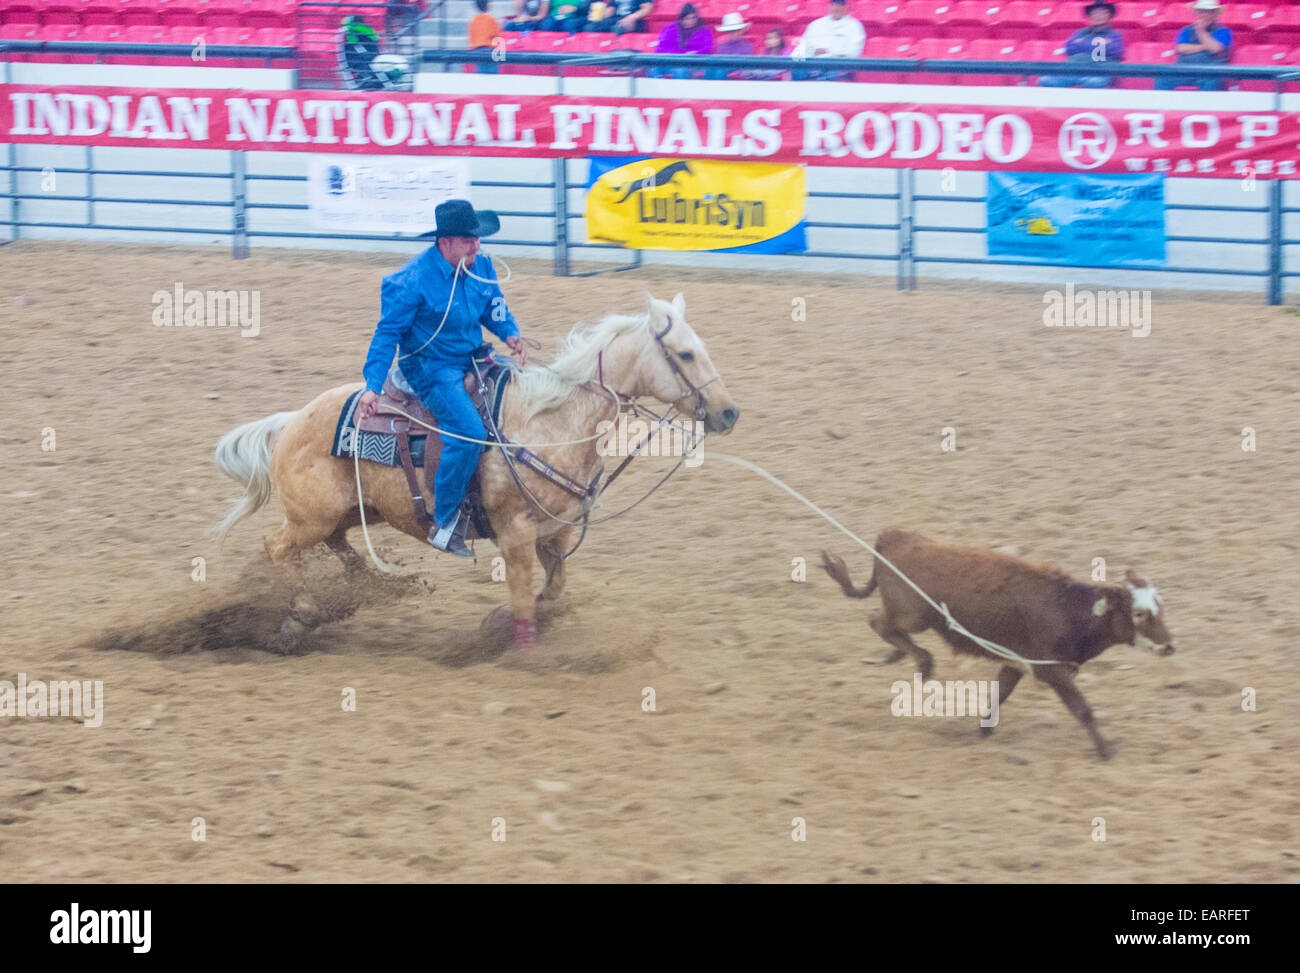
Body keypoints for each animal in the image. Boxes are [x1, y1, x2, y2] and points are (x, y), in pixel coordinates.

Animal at [820, 529, 1175, 759]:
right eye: (1139, 613)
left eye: (1160, 607)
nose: (1170, 647)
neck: (1067, 608)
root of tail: (892, 538)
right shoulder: (1051, 671)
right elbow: (1083, 709)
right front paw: (1105, 750)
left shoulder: (1014, 664)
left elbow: (999, 696)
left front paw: (984, 730)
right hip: (913, 615)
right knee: (878, 622)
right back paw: (922, 661)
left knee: (886, 626)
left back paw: (900, 654)